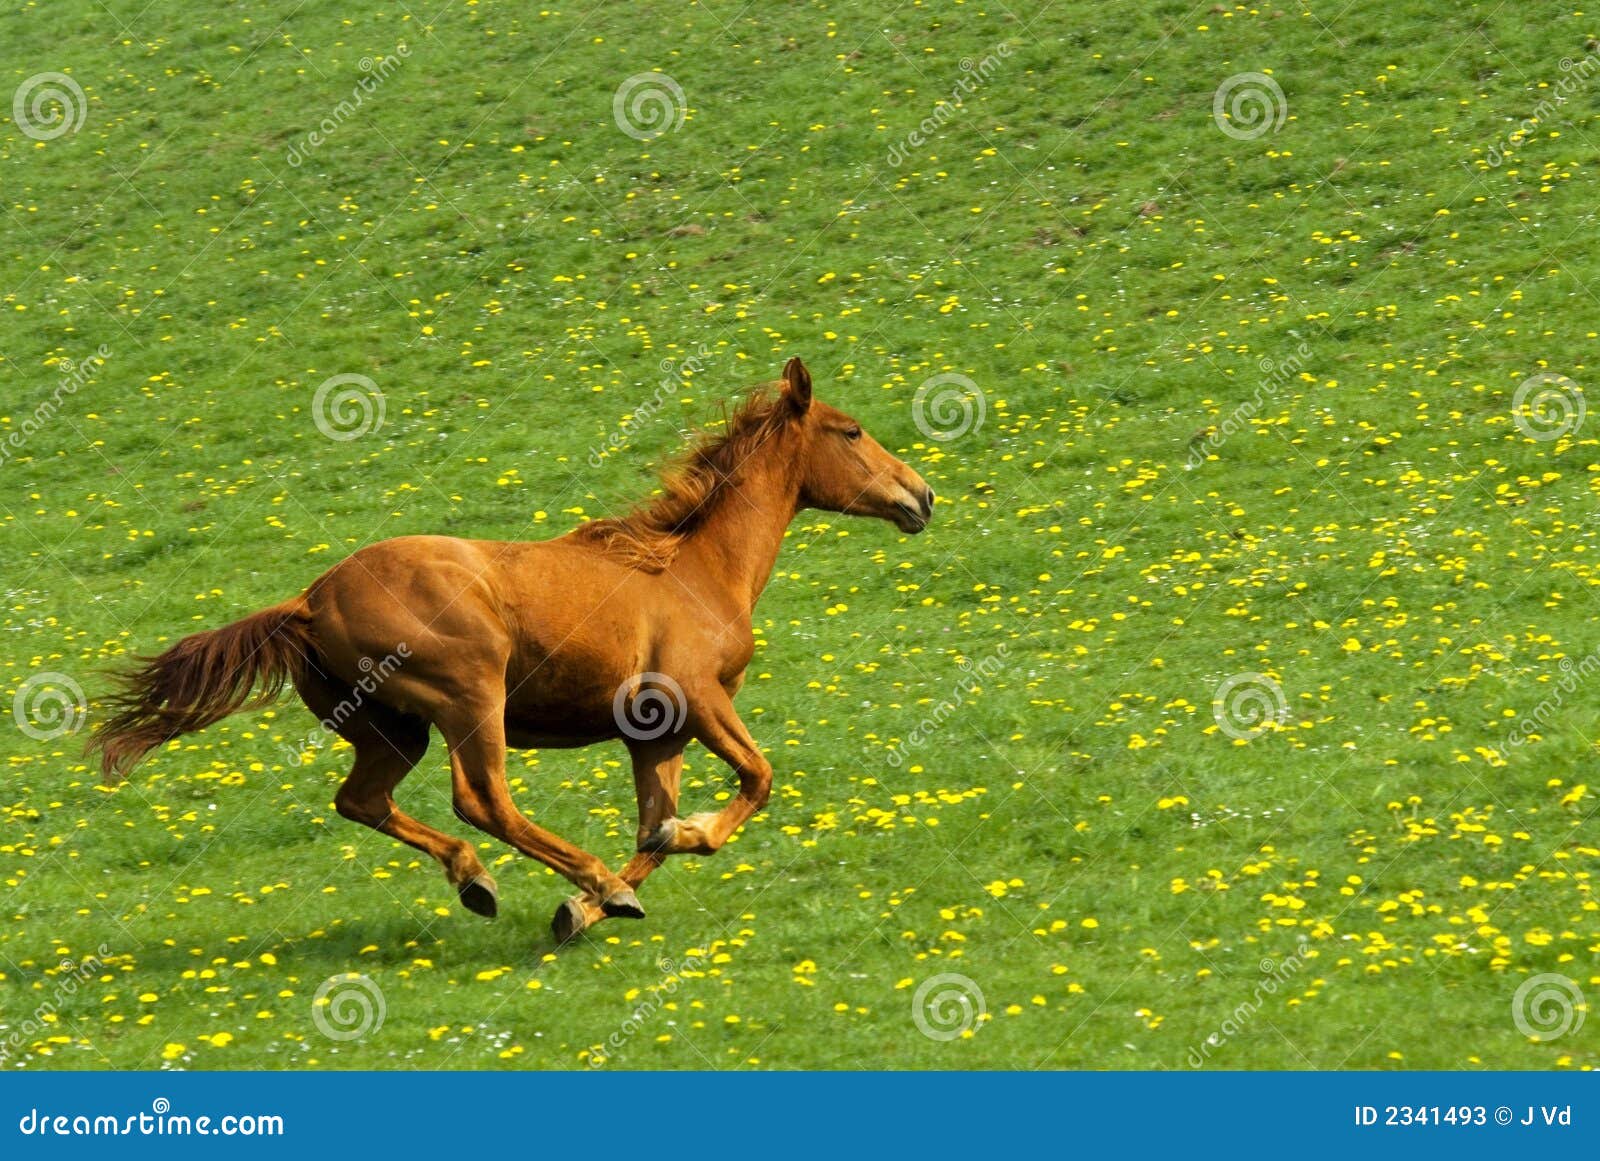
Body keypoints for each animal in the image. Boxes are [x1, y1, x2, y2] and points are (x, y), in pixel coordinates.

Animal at [90, 357, 935, 942]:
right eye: (851, 431)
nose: (921, 496)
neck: (692, 568)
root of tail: (310, 598)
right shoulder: (697, 695)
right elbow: (754, 781)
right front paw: (628, 874)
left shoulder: (652, 732)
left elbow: (652, 828)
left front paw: (585, 908)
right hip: (470, 693)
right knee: (483, 798)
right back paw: (558, 874)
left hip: (391, 728)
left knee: (362, 799)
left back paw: (480, 881)